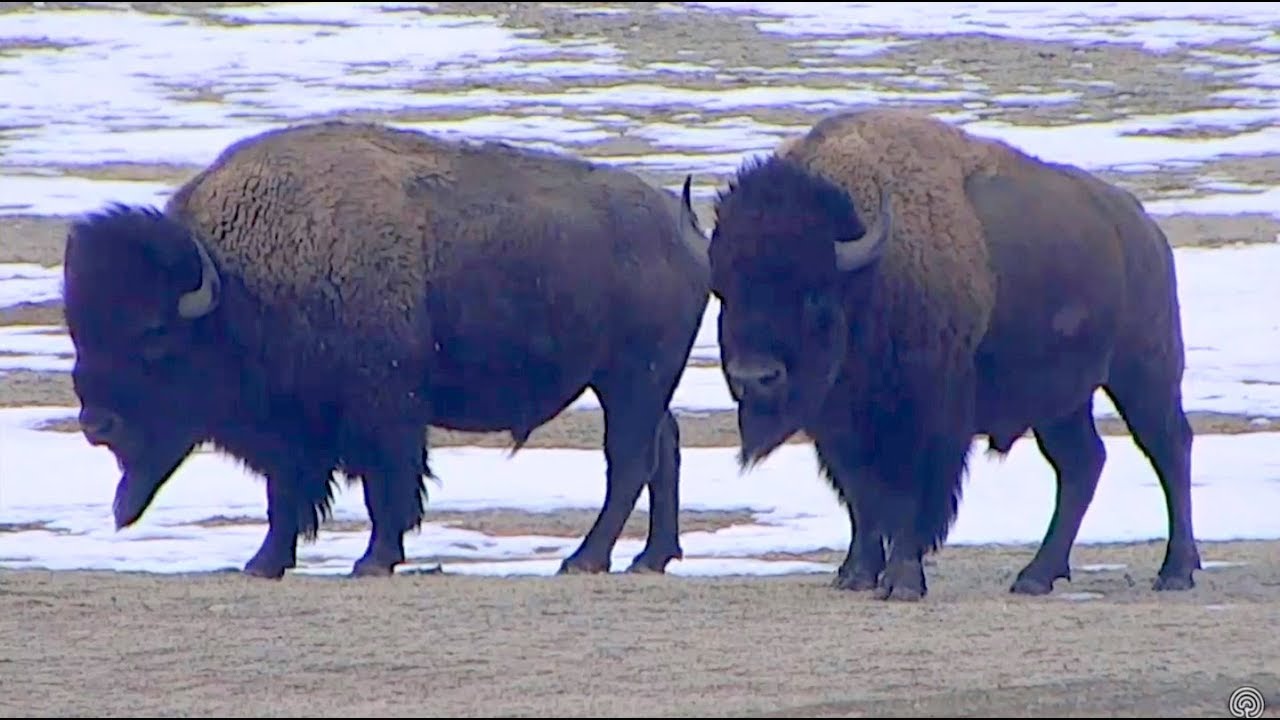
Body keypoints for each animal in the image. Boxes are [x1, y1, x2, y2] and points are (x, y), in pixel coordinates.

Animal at [62, 120, 711, 579]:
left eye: (153, 337)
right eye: (81, 332)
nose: (96, 423)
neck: (242, 284)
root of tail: (682, 224)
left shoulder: (383, 409)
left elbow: (383, 488)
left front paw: (372, 560)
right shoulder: (296, 434)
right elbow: (287, 496)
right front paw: (262, 563)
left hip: (630, 379)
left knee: (629, 461)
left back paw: (584, 559)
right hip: (634, 384)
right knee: (663, 447)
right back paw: (650, 558)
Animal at [708, 107, 1201, 601]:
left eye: (813, 294)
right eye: (725, 292)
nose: (754, 377)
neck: (871, 276)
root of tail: (1143, 228)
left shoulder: (926, 421)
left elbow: (910, 502)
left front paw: (902, 583)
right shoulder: (838, 430)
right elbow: (862, 500)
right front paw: (855, 575)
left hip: (1143, 375)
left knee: (1168, 447)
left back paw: (1175, 571)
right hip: (1061, 402)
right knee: (1083, 463)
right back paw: (1035, 575)